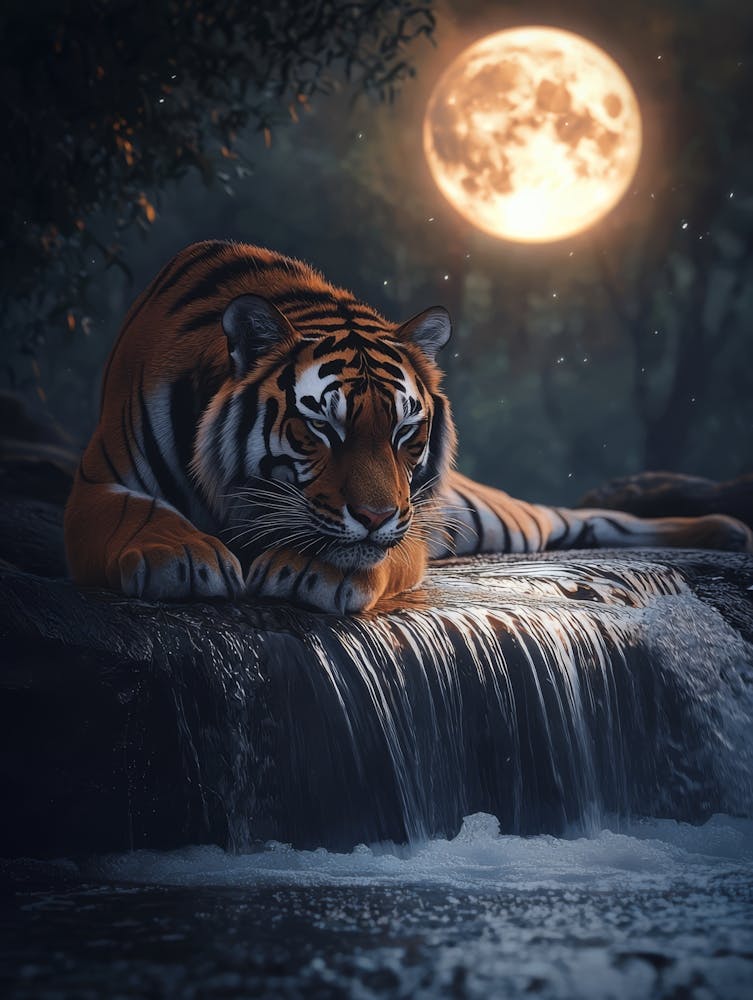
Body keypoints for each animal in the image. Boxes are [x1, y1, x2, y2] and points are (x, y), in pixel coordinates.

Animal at [63, 240, 753, 613]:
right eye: (322, 427)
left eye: (404, 432)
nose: (375, 517)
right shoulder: (97, 483)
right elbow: (139, 515)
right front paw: (180, 557)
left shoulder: (411, 521)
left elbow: (368, 552)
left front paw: (310, 570)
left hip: (497, 516)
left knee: (577, 517)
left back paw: (726, 527)